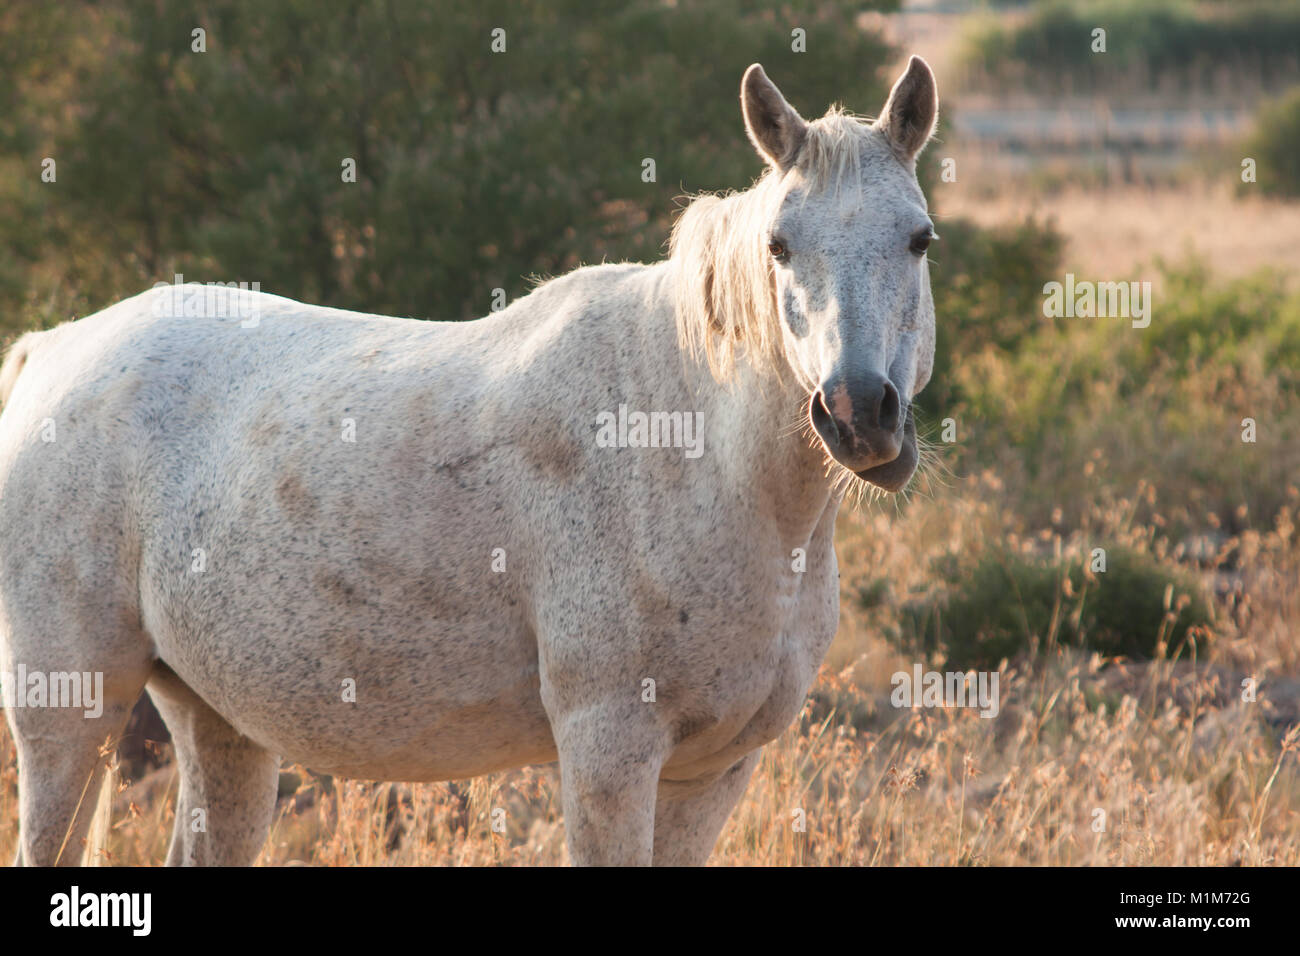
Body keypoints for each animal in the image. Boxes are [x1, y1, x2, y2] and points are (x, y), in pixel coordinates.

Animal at [0, 57, 938, 866]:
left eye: (920, 239)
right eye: (779, 245)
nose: (859, 415)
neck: (692, 449)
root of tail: (53, 350)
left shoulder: (711, 772)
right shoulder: (608, 753)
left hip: (217, 721)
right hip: (70, 717)